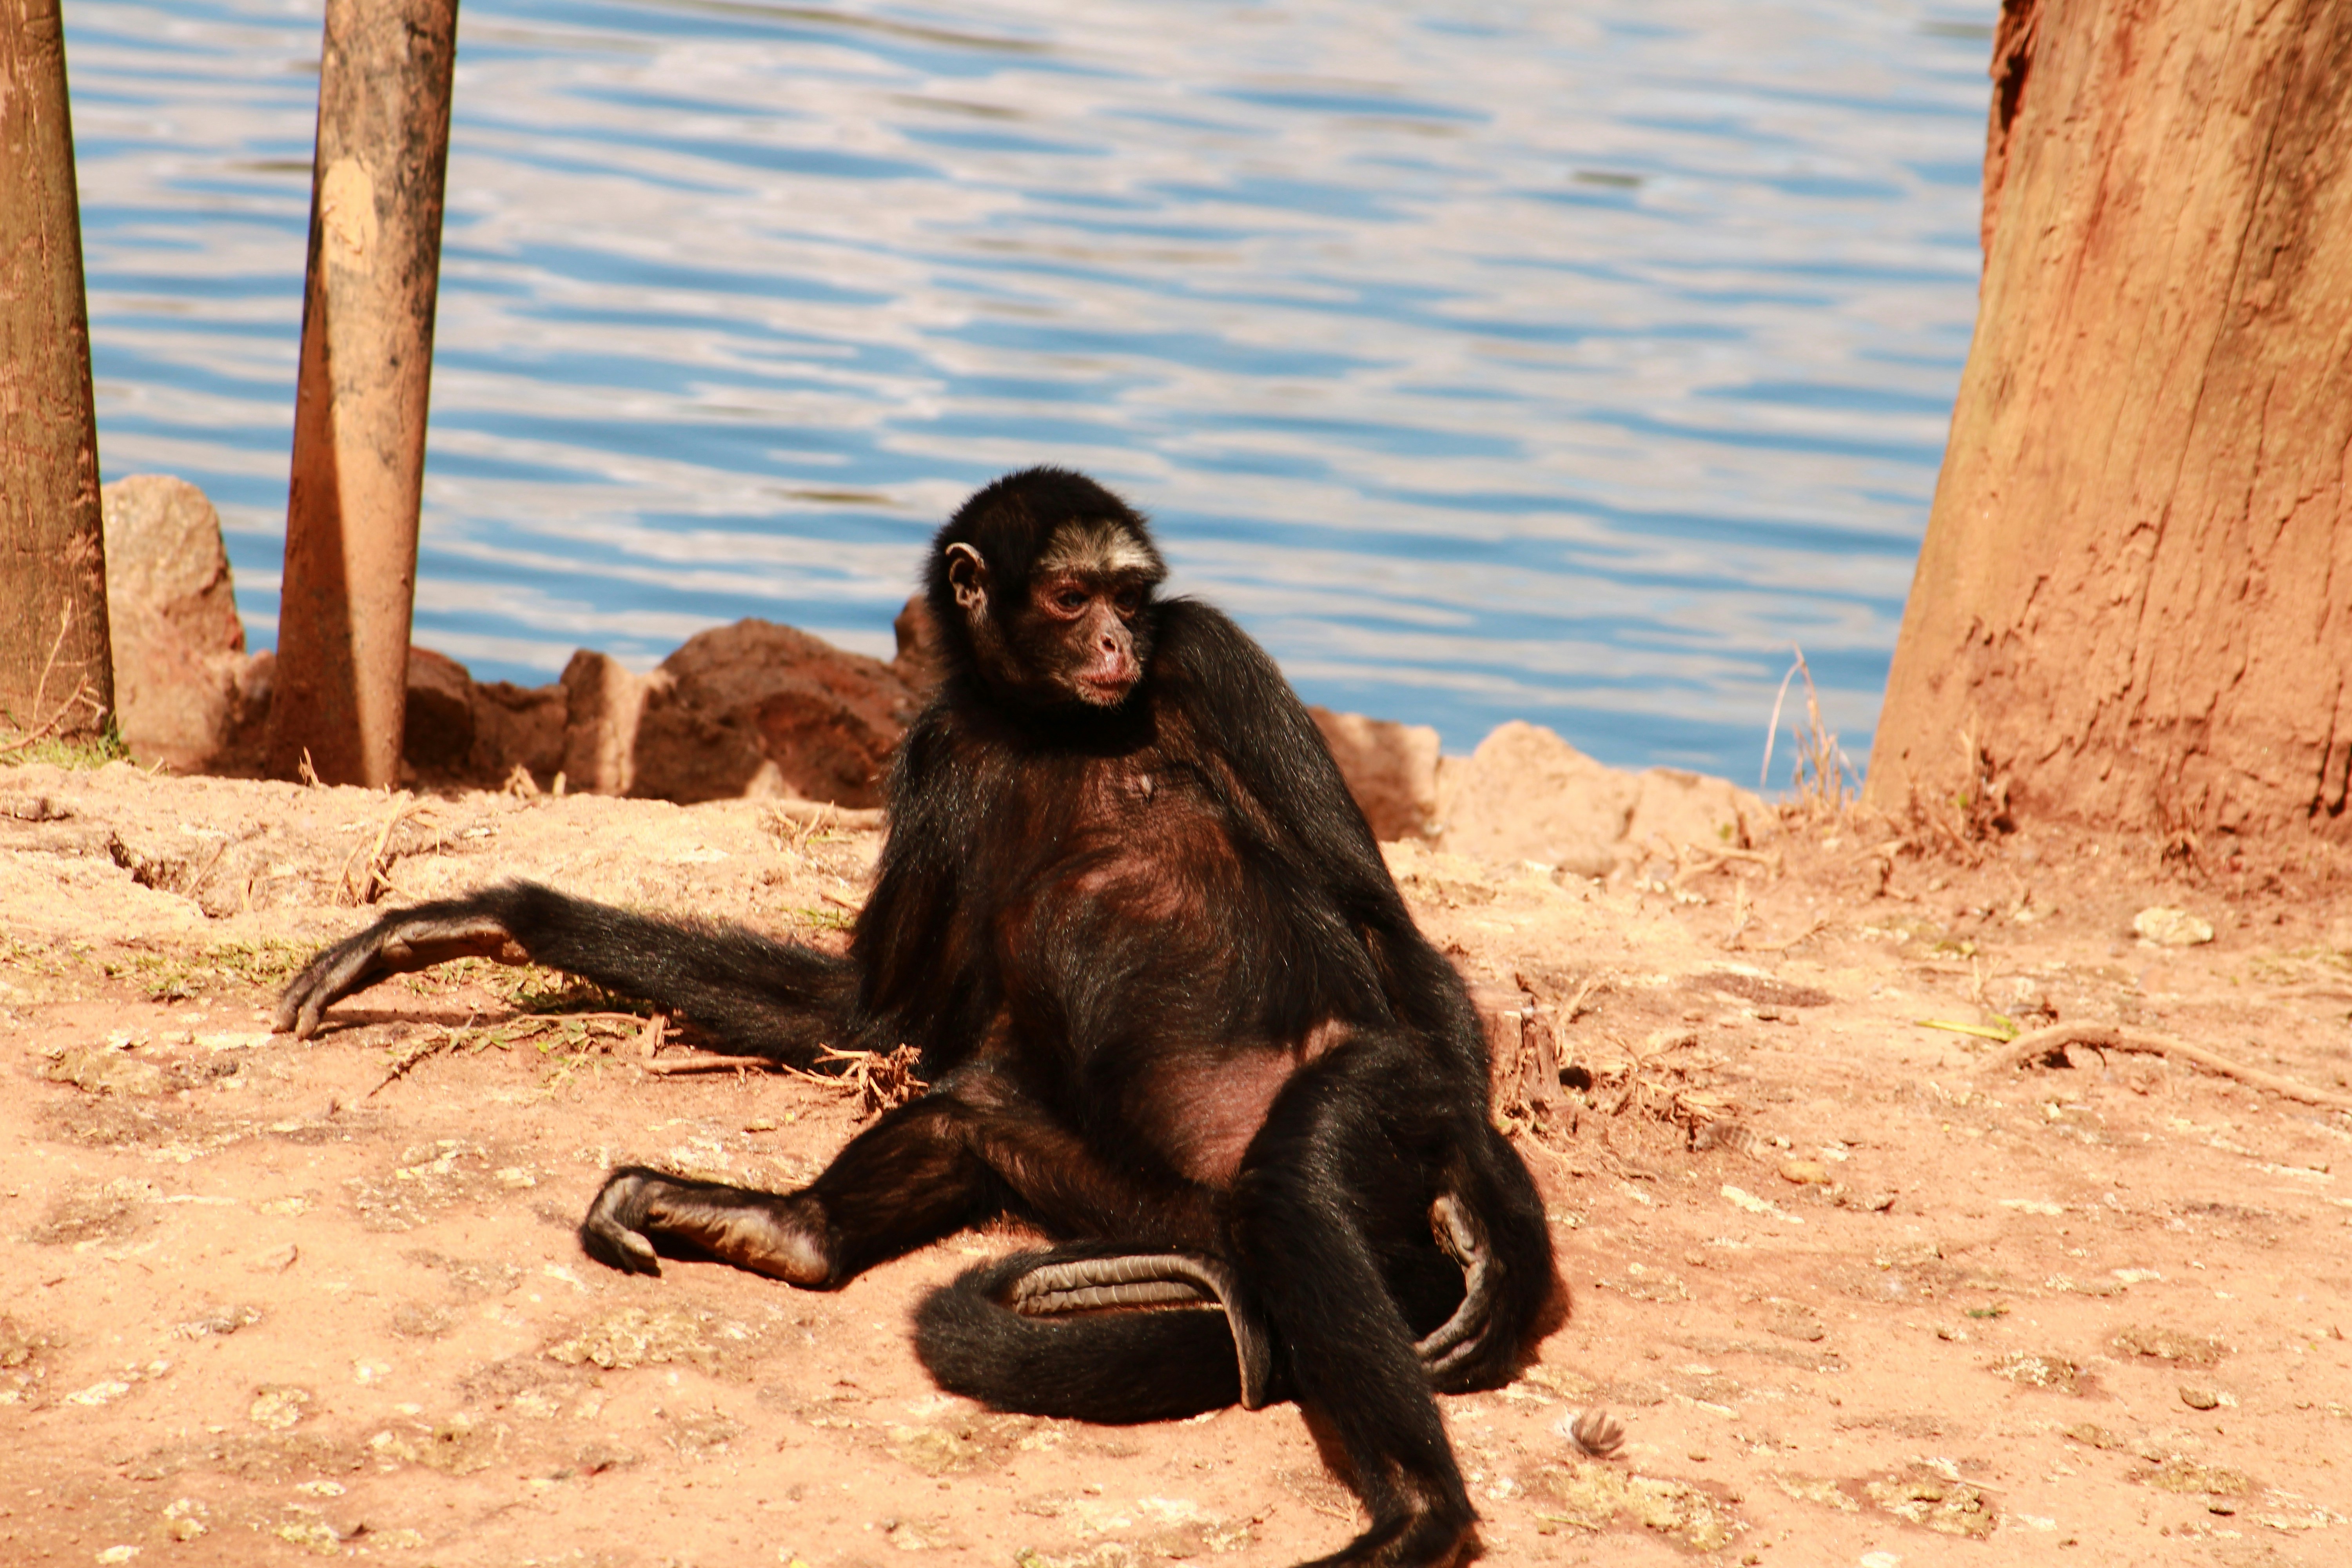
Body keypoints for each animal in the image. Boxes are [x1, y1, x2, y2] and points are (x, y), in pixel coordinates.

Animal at [275, 466, 1558, 1567]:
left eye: (1134, 598)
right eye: (1073, 597)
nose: (1116, 644)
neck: (1052, 724)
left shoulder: (1204, 653)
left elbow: (1376, 917)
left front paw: (1491, 1216)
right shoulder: (942, 745)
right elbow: (873, 1014)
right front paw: (493, 918)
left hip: (1367, 1095)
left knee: (1298, 1174)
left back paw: (1421, 1512)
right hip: (1148, 1202)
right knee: (970, 1108)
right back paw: (788, 1229)